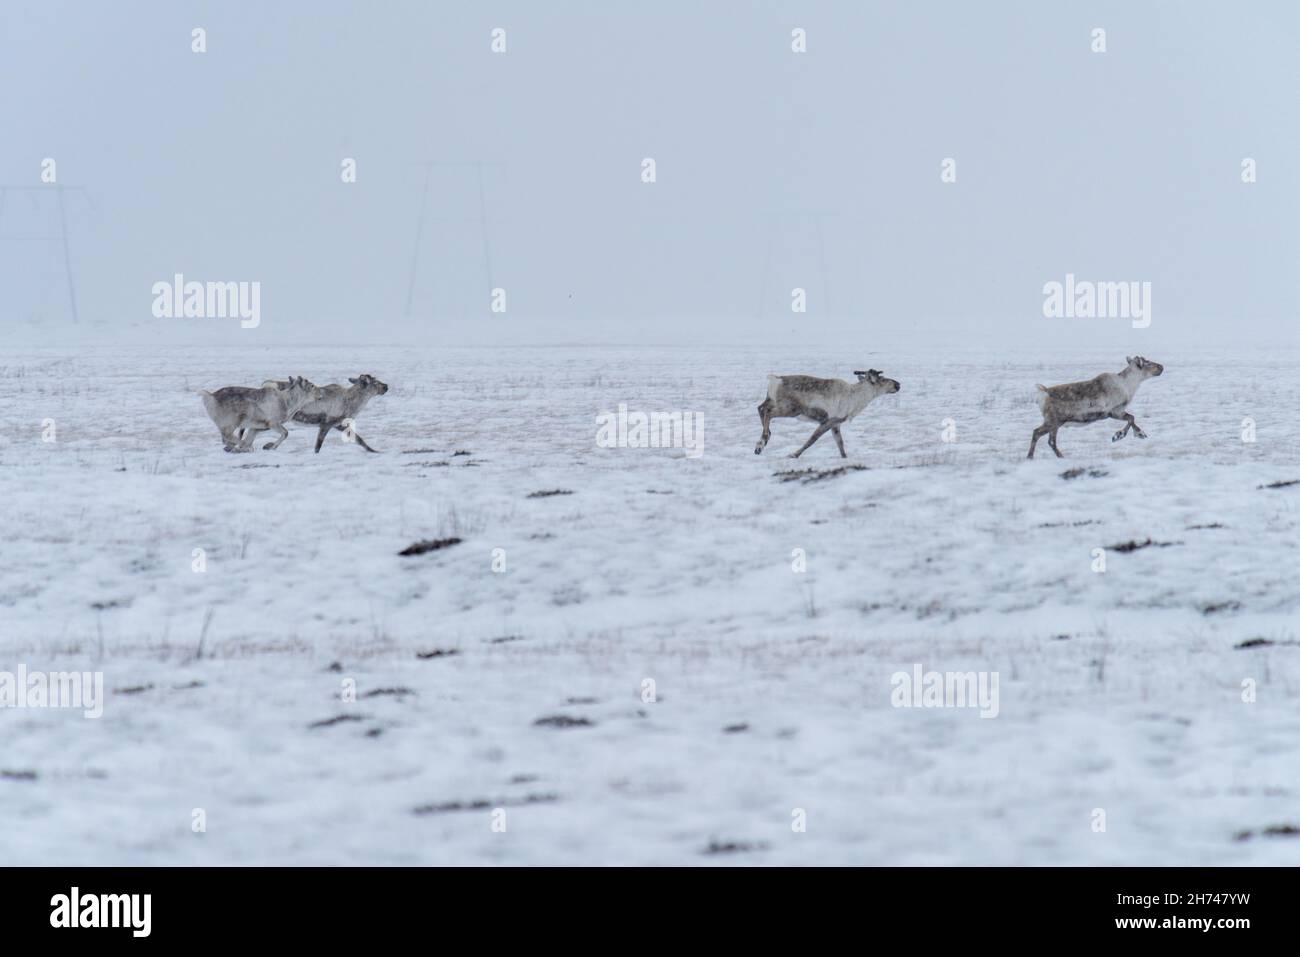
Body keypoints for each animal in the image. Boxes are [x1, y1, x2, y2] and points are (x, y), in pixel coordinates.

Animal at [755, 369, 901, 458]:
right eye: (883, 379)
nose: (898, 384)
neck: (856, 397)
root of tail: (775, 379)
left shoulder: (836, 424)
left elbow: (840, 443)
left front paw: (845, 457)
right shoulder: (828, 421)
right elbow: (812, 440)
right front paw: (794, 454)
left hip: (773, 401)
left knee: (761, 408)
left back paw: (764, 440)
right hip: (792, 409)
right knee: (768, 412)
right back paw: (761, 442)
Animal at [1028, 356, 1165, 459]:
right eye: (1147, 362)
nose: (1162, 366)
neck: (1128, 385)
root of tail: (1043, 393)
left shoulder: (1117, 412)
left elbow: (1132, 419)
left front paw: (1140, 433)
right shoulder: (1114, 411)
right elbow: (1131, 418)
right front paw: (1118, 436)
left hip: (1055, 423)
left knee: (1044, 437)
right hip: (1054, 421)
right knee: (1042, 436)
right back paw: (1042, 456)